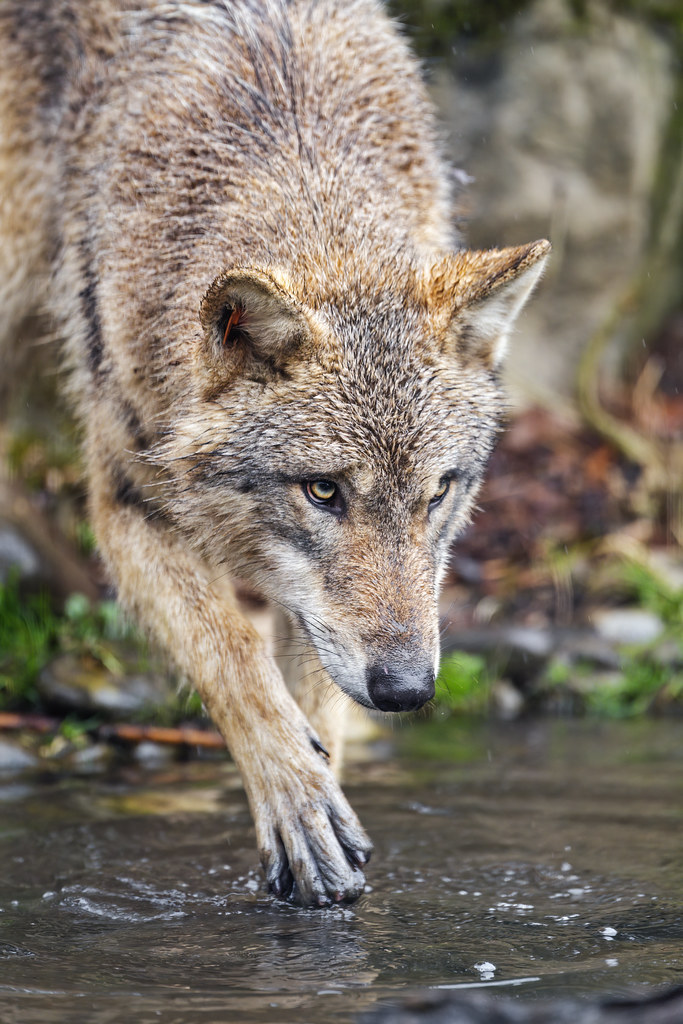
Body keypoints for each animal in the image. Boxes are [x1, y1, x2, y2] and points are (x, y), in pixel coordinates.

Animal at [0, 0, 549, 905]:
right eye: (323, 491)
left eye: (438, 492)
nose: (407, 691)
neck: (297, 167)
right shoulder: (128, 505)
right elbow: (234, 663)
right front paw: (297, 801)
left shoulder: (319, 614)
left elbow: (314, 692)